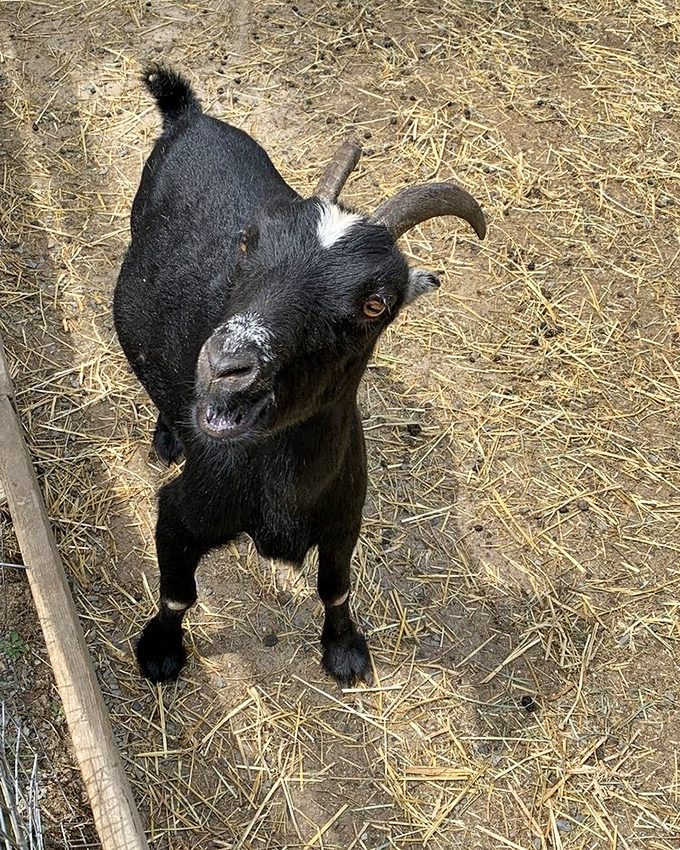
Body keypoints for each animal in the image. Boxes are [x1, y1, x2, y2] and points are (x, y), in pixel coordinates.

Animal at [114, 65, 486, 686]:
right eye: (248, 243)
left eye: (376, 304)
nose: (224, 366)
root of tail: (188, 114)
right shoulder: (183, 511)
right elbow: (178, 594)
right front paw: (160, 651)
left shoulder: (344, 520)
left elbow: (335, 589)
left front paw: (345, 650)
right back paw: (167, 436)